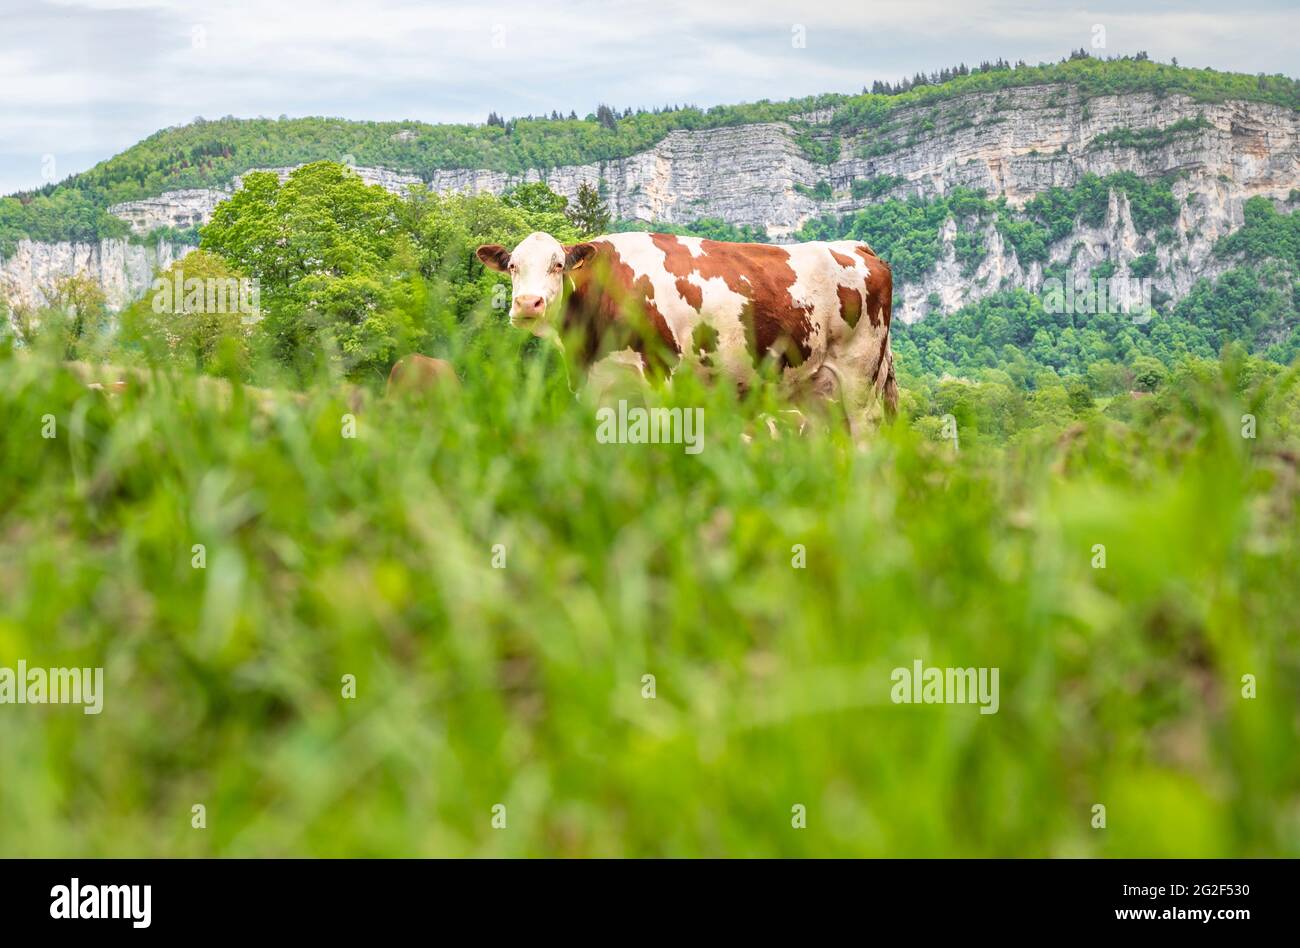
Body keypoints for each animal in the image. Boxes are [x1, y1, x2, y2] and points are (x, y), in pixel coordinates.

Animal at [476, 231, 896, 434]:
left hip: (859, 379)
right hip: (816, 390)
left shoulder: (659, 373)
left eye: (558, 265)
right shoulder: (597, 386)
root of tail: (856, 246)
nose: (527, 304)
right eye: (512, 266)